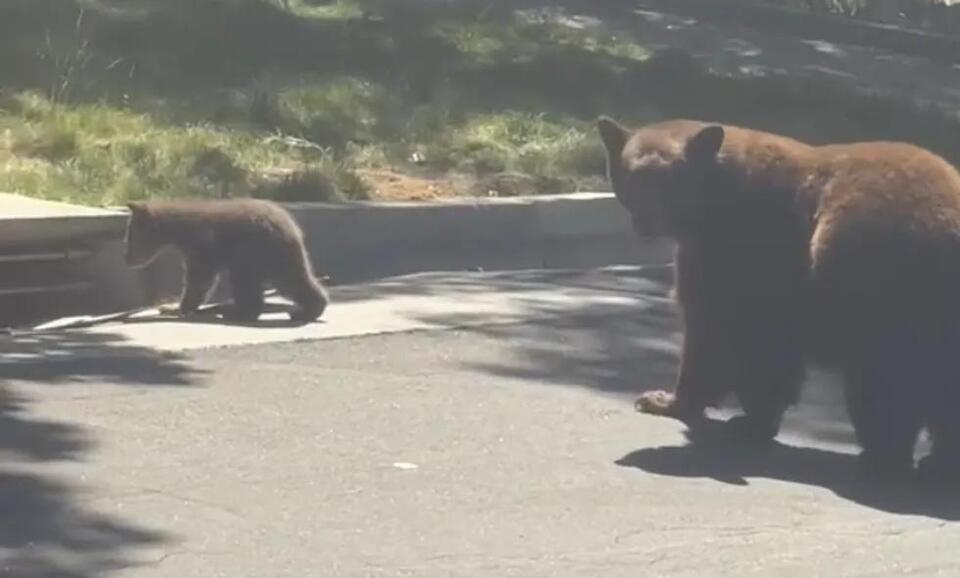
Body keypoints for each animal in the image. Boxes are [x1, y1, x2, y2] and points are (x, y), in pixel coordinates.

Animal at [125, 198, 329, 323]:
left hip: (252, 251)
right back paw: (309, 310)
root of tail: (291, 229)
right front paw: (172, 307)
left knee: (246, 282)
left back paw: (240, 313)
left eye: (130, 239)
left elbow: (199, 281)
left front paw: (175, 308)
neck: (181, 230)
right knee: (294, 280)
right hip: (277, 257)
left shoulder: (202, 246)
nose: (127, 260)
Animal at [598, 115, 960, 479]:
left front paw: (666, 401)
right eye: (634, 176)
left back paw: (881, 457)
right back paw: (937, 460)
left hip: (878, 289)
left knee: (885, 385)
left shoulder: (740, 256)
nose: (645, 221)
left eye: (669, 180)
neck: (716, 197)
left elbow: (719, 336)